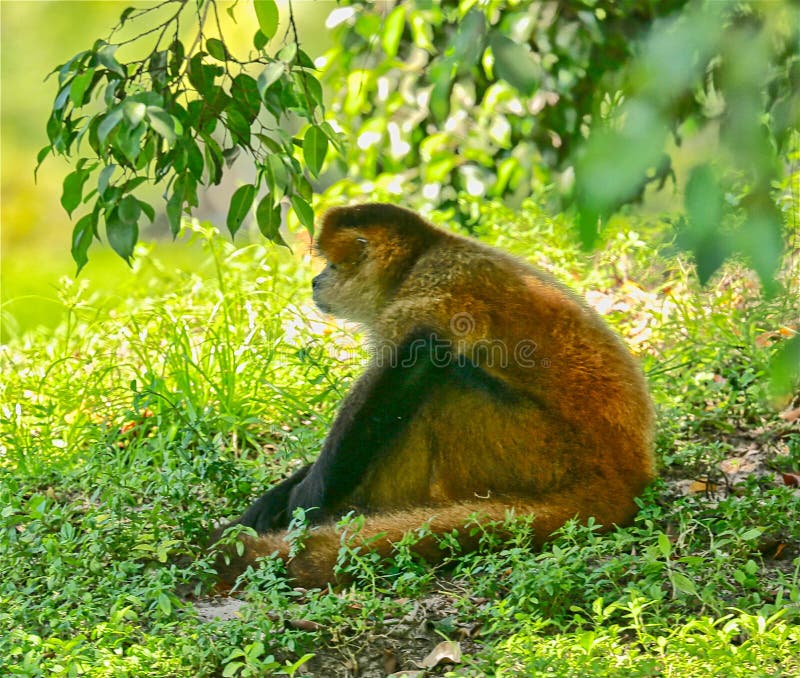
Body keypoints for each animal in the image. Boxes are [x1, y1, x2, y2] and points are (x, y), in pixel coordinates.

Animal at [211, 203, 656, 588]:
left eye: (332, 265)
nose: (316, 281)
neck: (424, 254)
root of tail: (624, 473)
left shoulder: (433, 289)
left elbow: (422, 352)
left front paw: (304, 505)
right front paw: (272, 503)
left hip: (537, 450)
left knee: (442, 375)